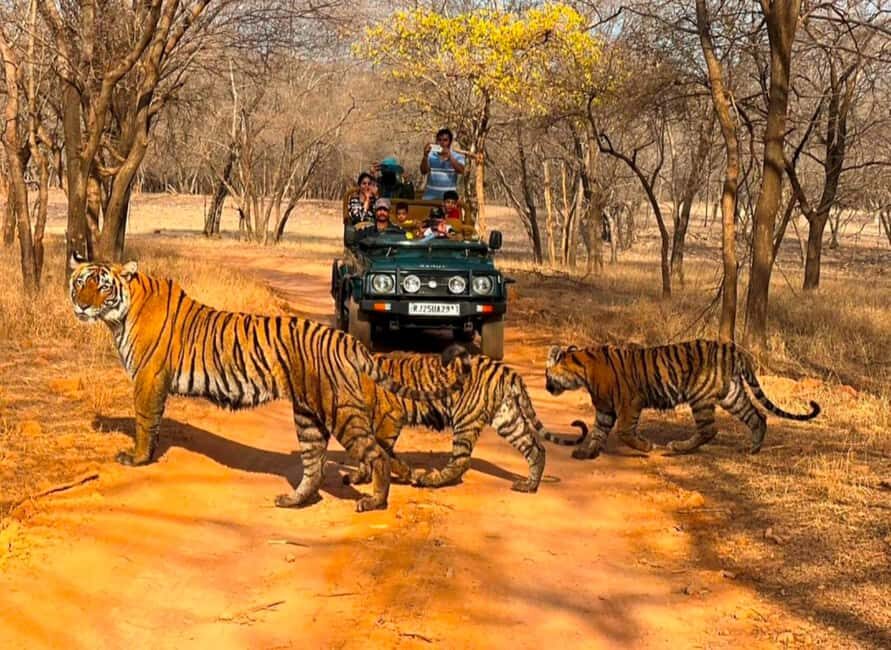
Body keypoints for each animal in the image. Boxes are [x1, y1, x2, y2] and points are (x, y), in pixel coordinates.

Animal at [67, 254, 468, 512]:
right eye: (80, 283)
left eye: (102, 287)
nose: (82, 307)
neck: (120, 314)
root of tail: (344, 338)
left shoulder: (148, 378)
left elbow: (144, 422)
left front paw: (137, 459)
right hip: (308, 416)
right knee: (314, 465)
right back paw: (294, 500)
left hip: (340, 411)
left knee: (376, 455)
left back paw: (375, 501)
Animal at [343, 345, 575, 494]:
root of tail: (505, 370)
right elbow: (367, 451)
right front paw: (360, 476)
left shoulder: (389, 418)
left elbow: (382, 451)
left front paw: (404, 473)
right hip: (507, 418)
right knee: (535, 448)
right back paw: (529, 486)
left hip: (465, 418)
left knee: (462, 460)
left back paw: (429, 480)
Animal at [543, 340, 821, 458]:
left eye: (547, 374)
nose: (546, 387)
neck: (582, 372)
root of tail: (734, 349)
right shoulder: (604, 408)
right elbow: (599, 431)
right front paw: (587, 452)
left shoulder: (630, 402)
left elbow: (624, 431)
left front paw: (647, 447)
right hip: (731, 394)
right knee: (757, 416)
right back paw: (753, 449)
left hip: (700, 396)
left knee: (709, 429)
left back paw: (676, 448)